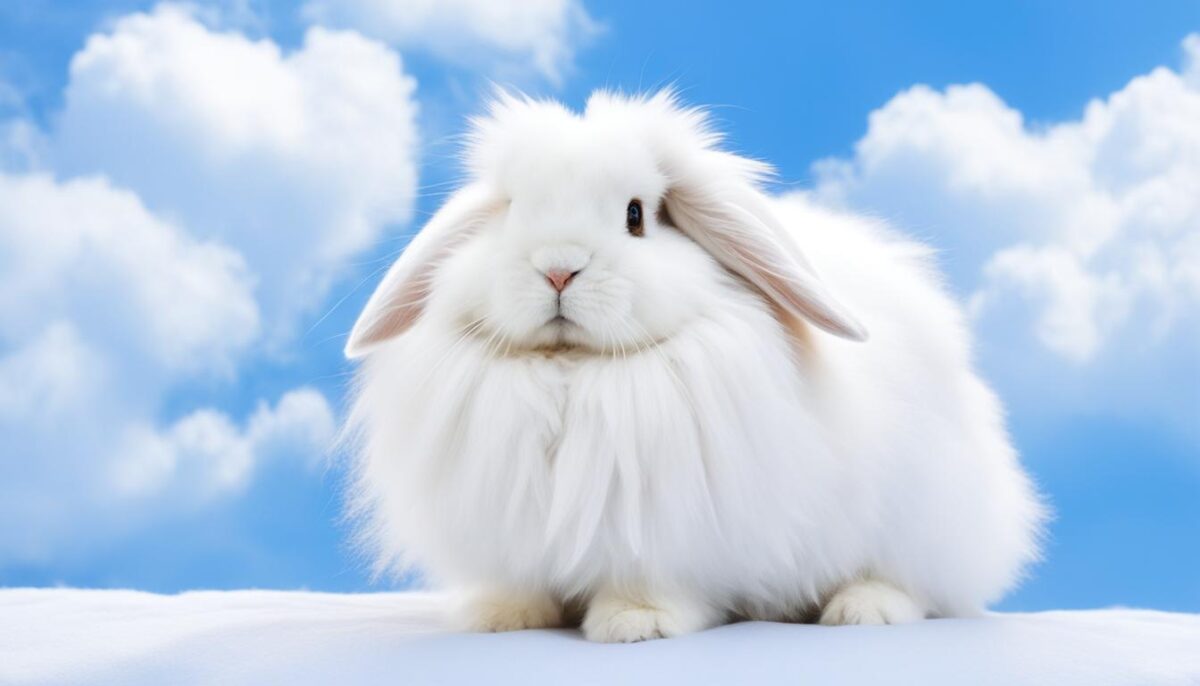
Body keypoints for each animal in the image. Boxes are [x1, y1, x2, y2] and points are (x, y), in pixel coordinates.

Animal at [343, 90, 1047, 643]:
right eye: (512, 208)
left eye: (636, 215)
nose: (558, 268)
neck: (575, 373)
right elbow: (522, 581)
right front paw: (501, 616)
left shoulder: (672, 532)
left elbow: (655, 582)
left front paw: (636, 623)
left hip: (926, 516)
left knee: (921, 584)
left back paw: (862, 609)